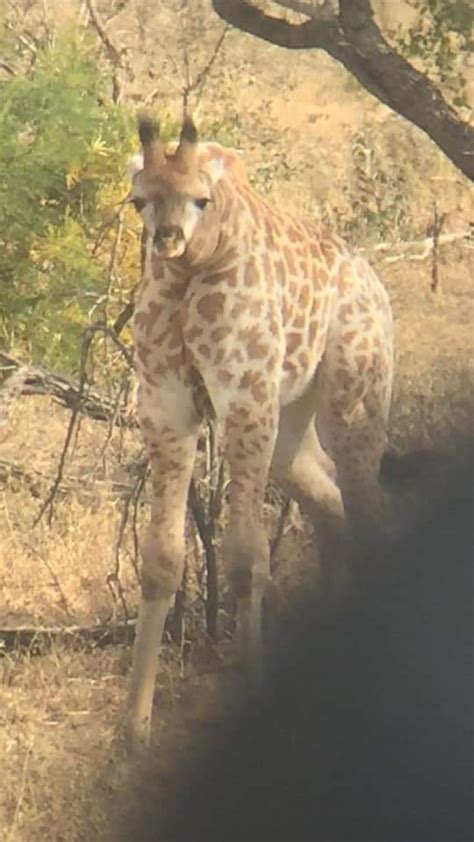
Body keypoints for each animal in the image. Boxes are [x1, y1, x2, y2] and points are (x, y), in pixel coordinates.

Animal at [125, 114, 393, 753]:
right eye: (138, 200)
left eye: (201, 198)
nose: (166, 240)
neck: (190, 274)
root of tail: (377, 286)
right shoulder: (165, 408)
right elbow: (161, 558)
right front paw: (134, 728)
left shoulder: (246, 400)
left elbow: (247, 556)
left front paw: (249, 683)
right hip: (291, 426)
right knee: (330, 497)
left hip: (352, 401)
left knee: (367, 507)